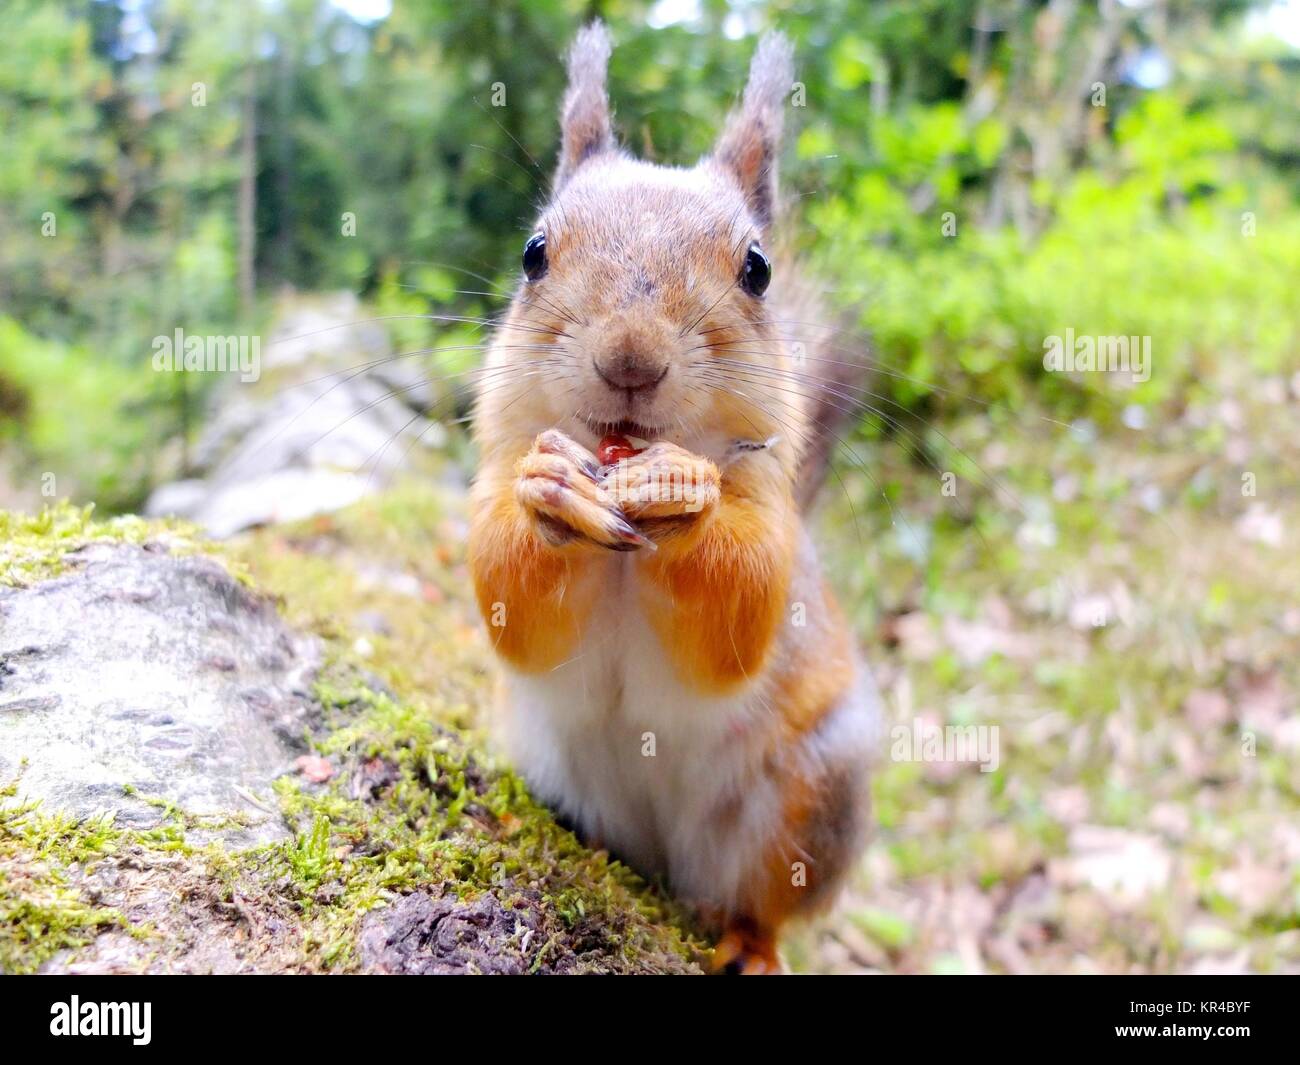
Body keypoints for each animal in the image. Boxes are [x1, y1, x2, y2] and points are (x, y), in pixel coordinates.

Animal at [467, 22, 878, 974]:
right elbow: (508, 597)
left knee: (762, 899)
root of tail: (659, 858)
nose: (631, 357)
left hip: (811, 797)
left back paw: (748, 942)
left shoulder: (769, 521)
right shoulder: (489, 474)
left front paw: (684, 491)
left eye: (758, 269)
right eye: (533, 253)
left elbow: (738, 611)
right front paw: (548, 493)